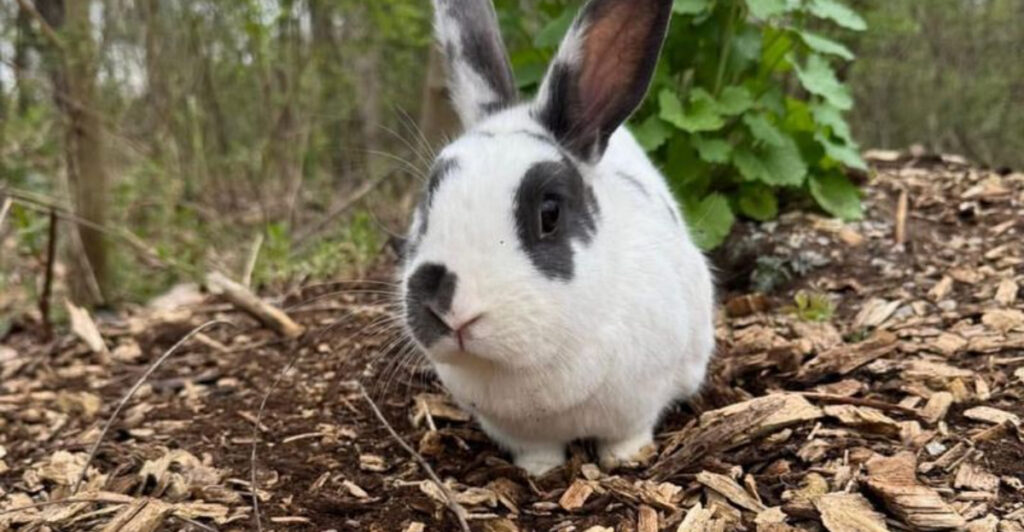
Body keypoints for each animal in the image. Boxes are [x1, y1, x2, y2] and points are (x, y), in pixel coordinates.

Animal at [399, 0, 715, 476]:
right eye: (428, 203)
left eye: (549, 213)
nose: (444, 304)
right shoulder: (519, 431)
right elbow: (538, 453)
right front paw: (540, 473)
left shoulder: (639, 402)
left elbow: (627, 435)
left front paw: (625, 459)